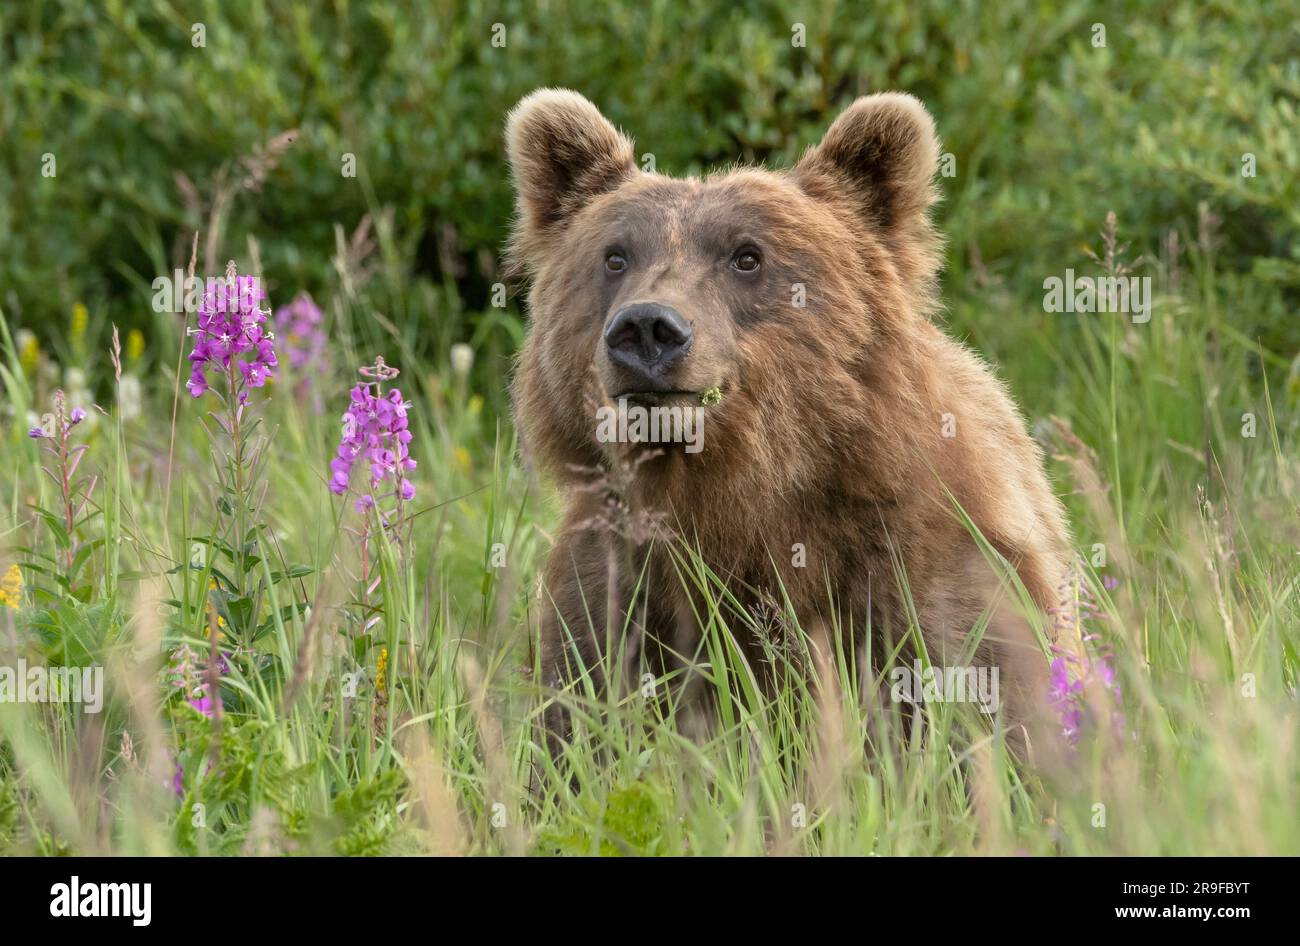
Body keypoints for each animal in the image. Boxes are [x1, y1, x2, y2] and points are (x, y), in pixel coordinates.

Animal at [504, 88, 1073, 760]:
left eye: (747, 256)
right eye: (615, 256)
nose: (647, 328)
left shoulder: (926, 561)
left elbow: (974, 693)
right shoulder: (619, 585)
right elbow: (581, 717)